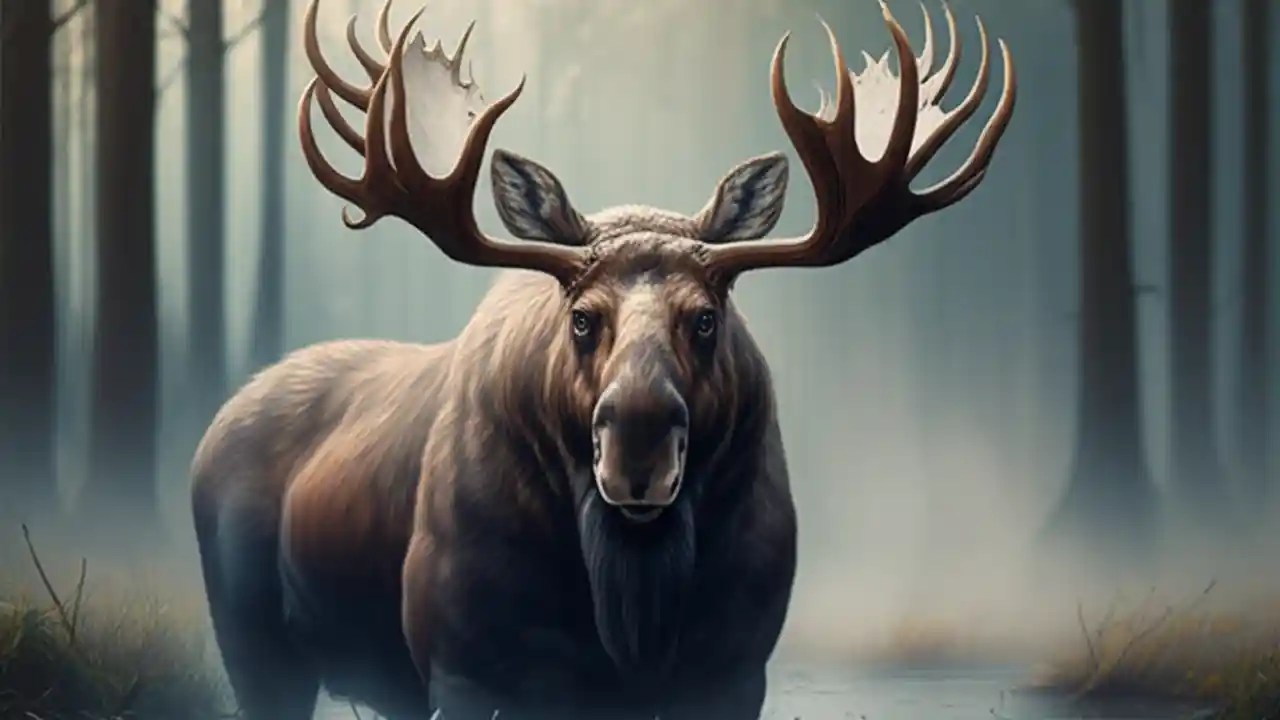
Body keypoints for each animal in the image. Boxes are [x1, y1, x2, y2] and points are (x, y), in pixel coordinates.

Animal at [190, 1, 1015, 718]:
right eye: (582, 319)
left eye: (706, 318)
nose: (639, 447)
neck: (632, 610)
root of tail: (215, 425)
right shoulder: (466, 668)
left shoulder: (733, 671)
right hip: (255, 646)